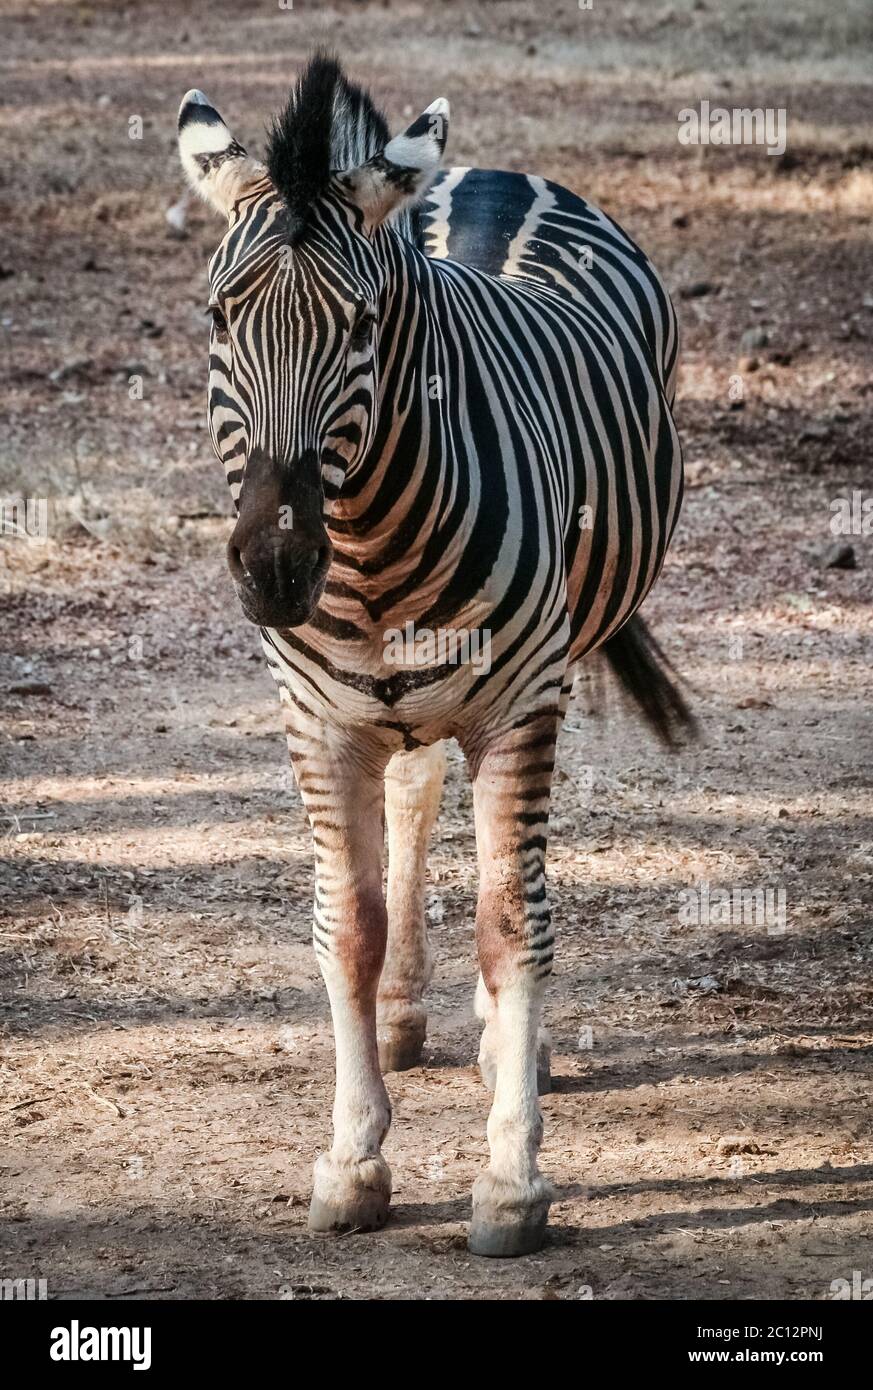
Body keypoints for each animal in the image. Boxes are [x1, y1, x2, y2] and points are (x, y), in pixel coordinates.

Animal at [177, 54, 692, 1257]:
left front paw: (511, 1179)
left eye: (362, 323)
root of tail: (489, 173)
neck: (366, 551)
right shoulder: (320, 721)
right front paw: (353, 1159)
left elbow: (513, 922)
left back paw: (512, 1043)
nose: (276, 567)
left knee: (508, 874)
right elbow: (348, 929)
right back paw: (409, 1018)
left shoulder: (522, 705)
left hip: (552, 655)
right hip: (396, 700)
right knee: (414, 792)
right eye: (220, 315)